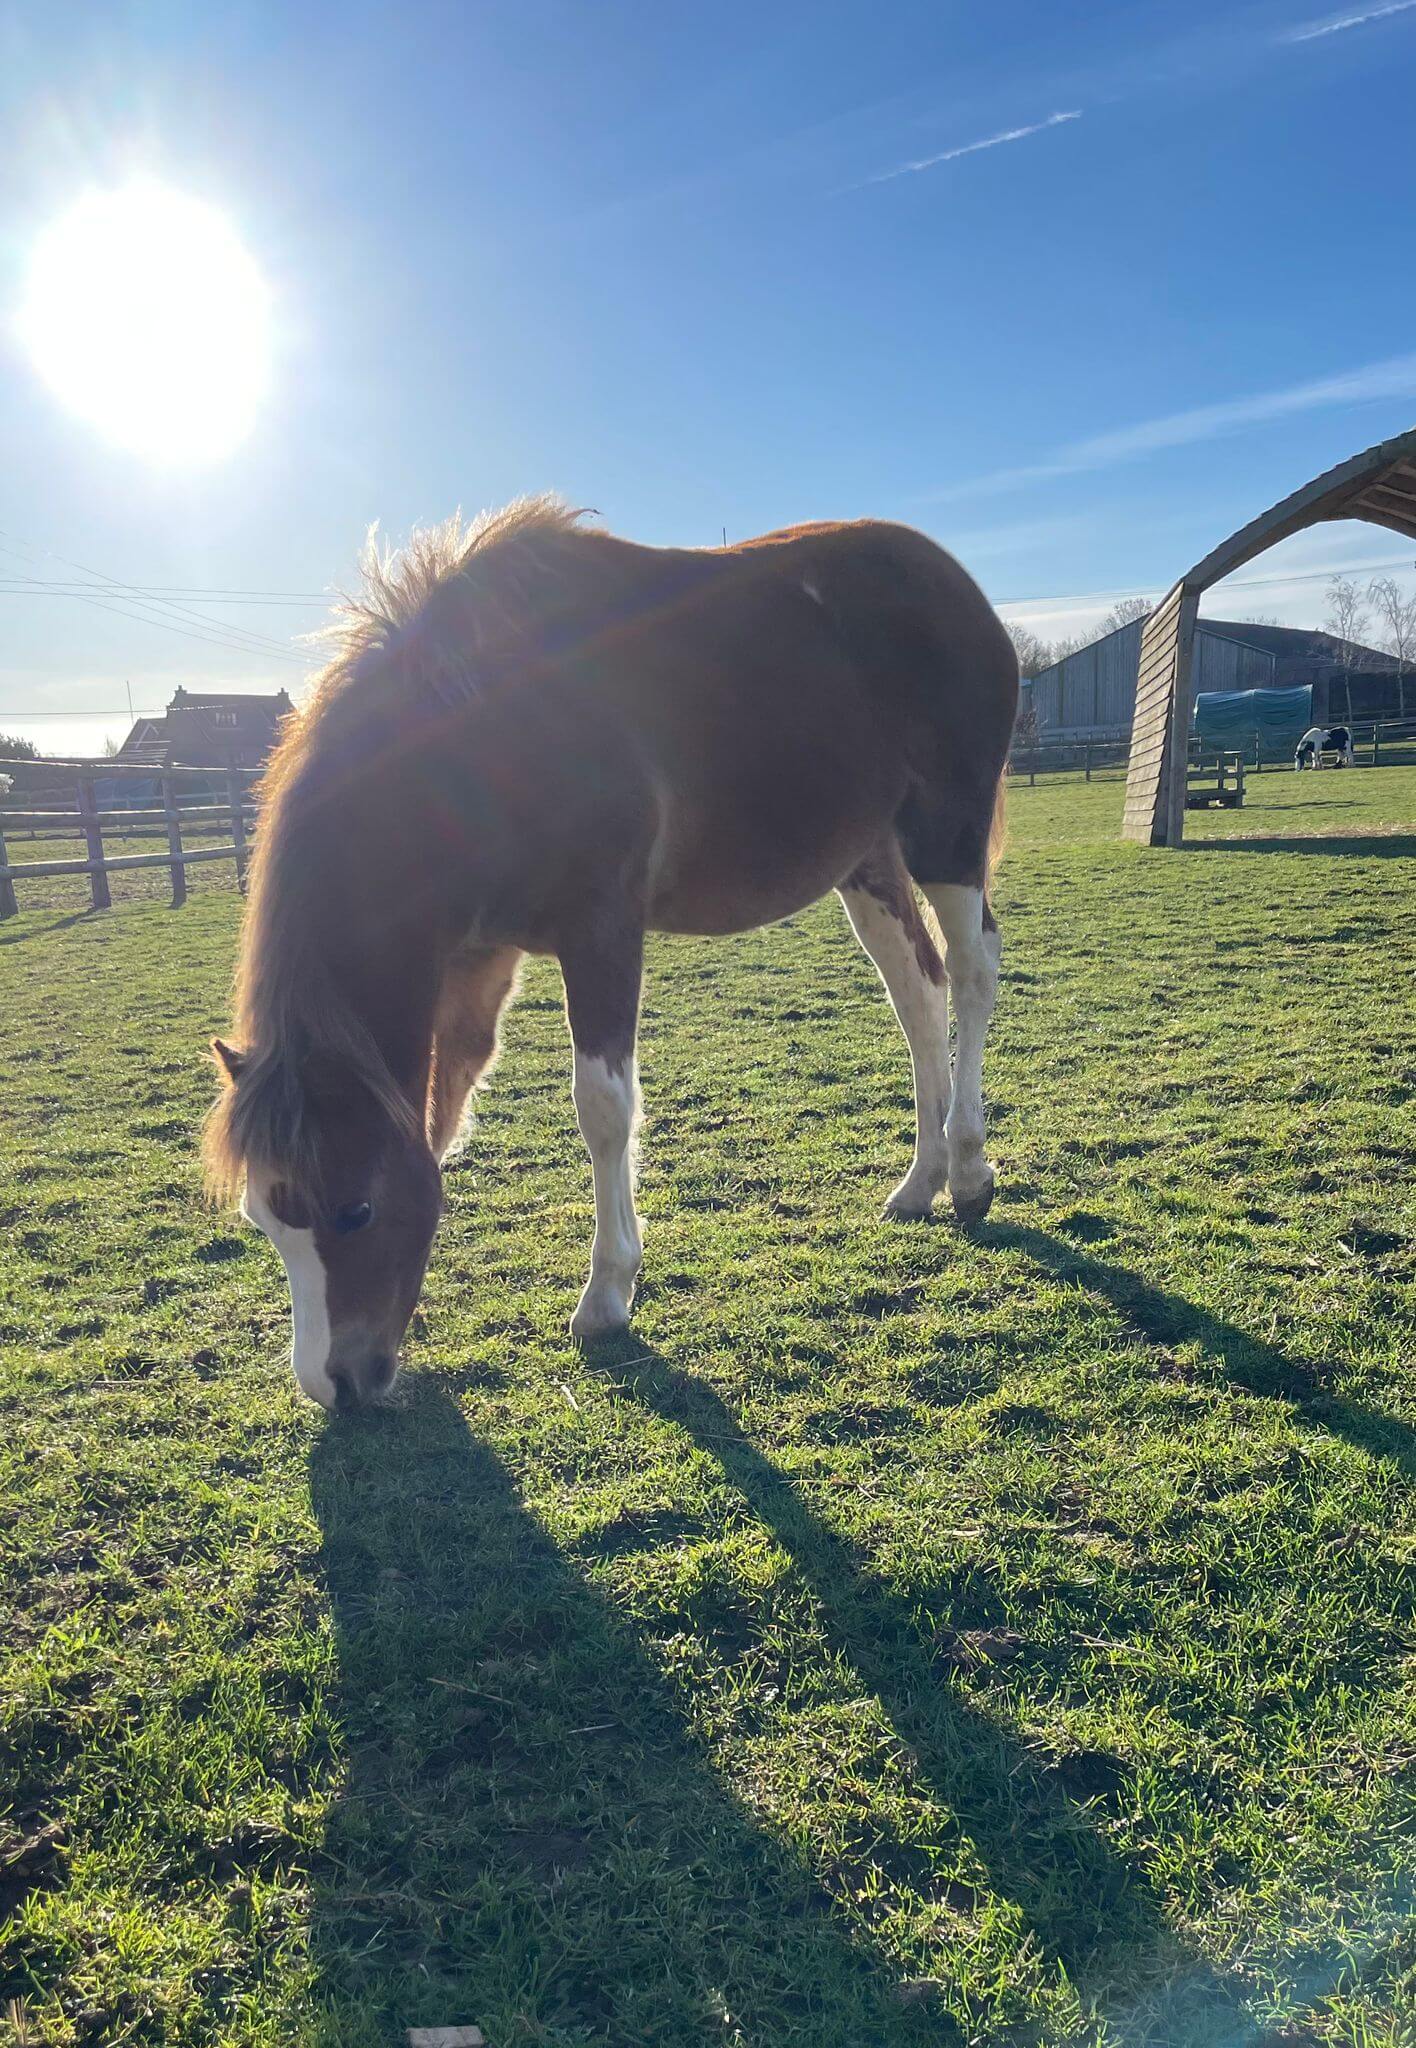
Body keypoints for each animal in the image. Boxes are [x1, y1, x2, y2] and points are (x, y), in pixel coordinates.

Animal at [204, 499, 1018, 1408]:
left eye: (355, 1211)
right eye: (264, 1219)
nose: (335, 1384)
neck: (476, 732)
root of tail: (952, 582)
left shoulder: (601, 930)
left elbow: (602, 1108)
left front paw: (607, 1294)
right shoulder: (476, 961)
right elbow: (442, 1111)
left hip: (947, 833)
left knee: (973, 973)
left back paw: (971, 1171)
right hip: (868, 859)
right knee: (918, 993)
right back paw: (922, 1181)